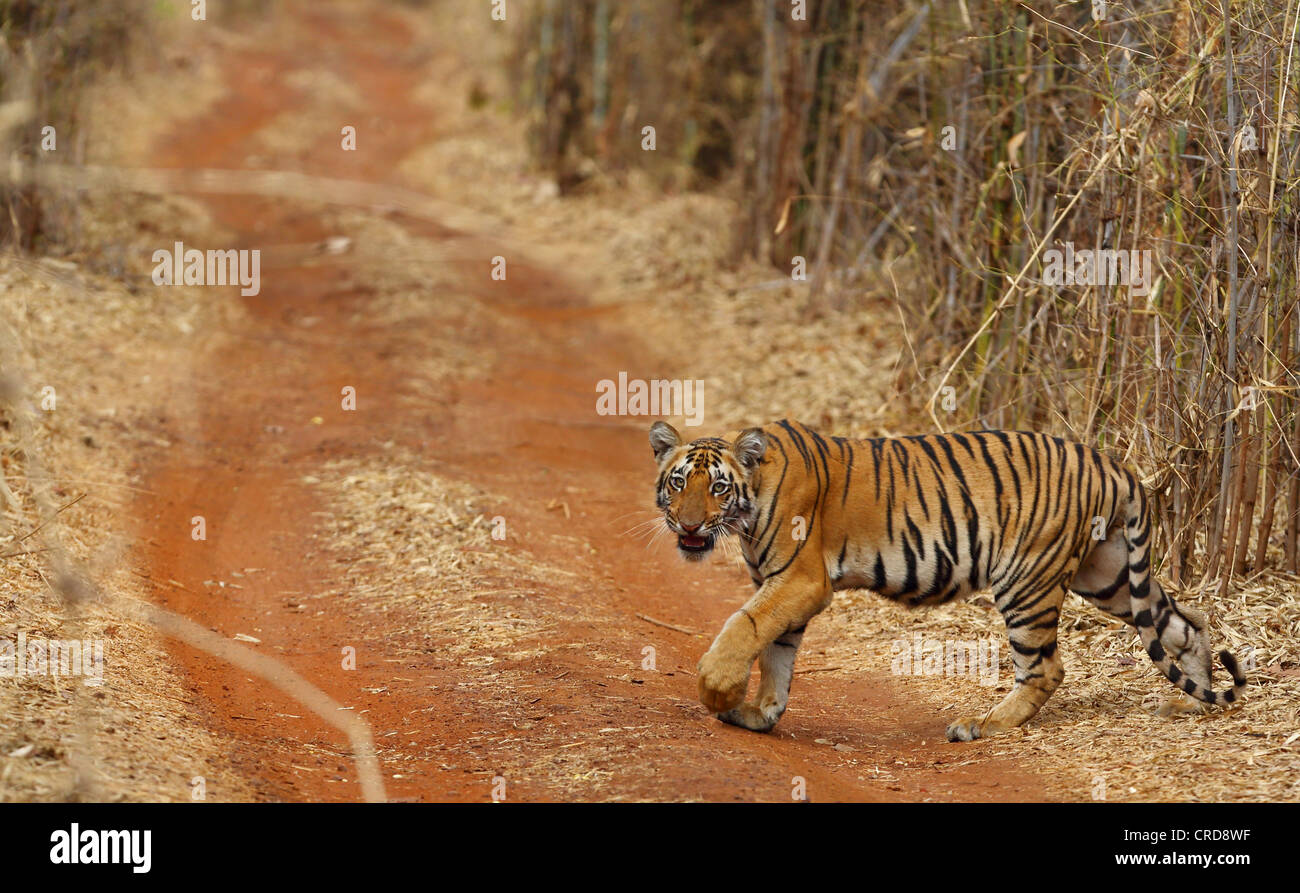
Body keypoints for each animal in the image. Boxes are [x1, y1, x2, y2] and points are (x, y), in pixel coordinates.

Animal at [648, 418, 1246, 741]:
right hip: (1109, 575)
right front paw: (759, 714)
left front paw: (717, 690)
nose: (690, 525)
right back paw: (1195, 703)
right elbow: (777, 653)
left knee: (1046, 667)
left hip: (1028, 579)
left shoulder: (799, 581)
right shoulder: (784, 588)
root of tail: (1113, 465)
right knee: (1185, 623)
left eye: (718, 487)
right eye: (678, 482)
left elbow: (744, 629)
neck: (746, 511)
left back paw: (984, 724)